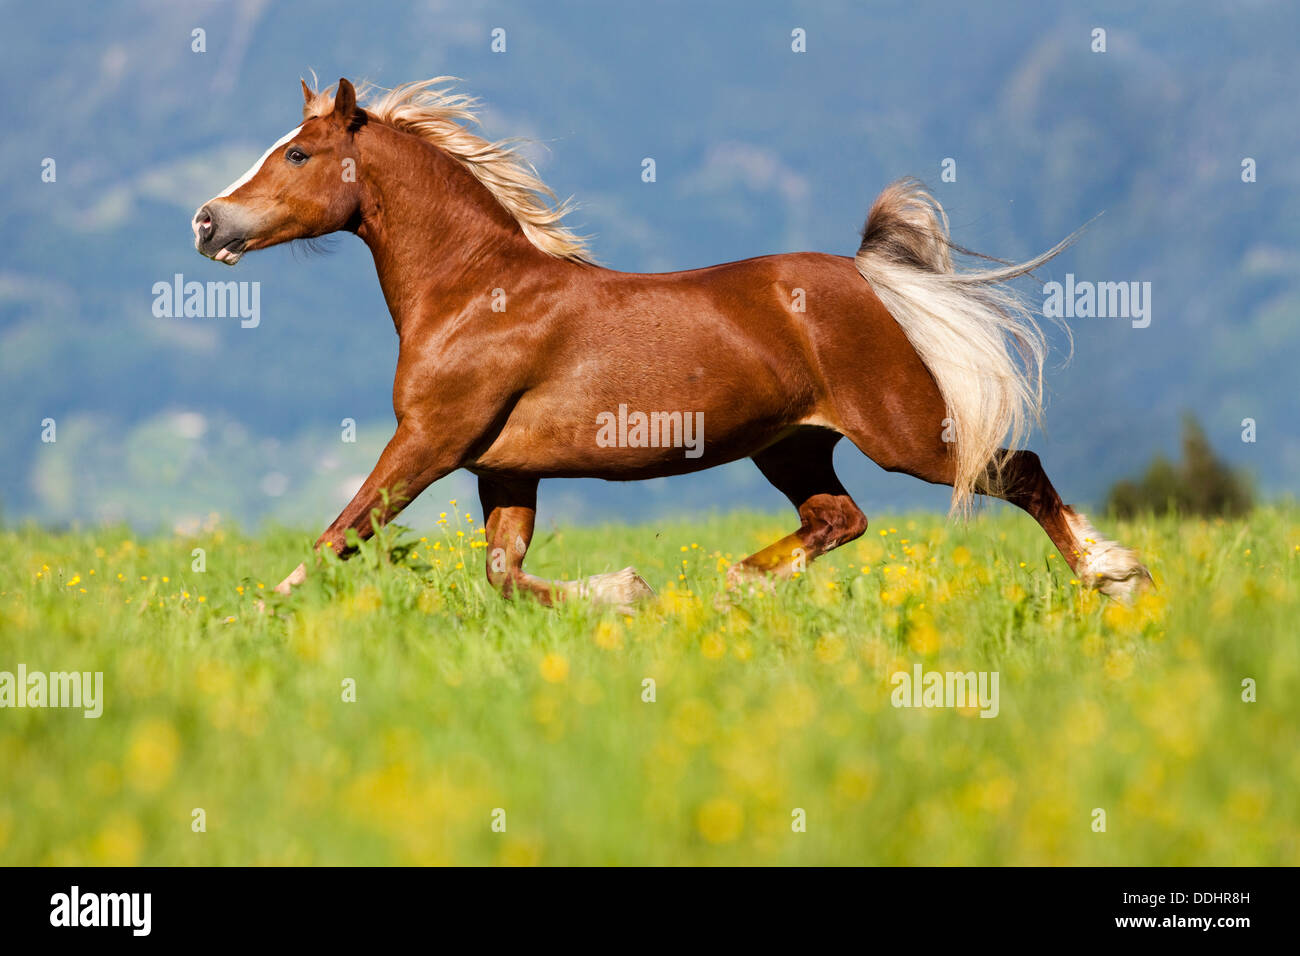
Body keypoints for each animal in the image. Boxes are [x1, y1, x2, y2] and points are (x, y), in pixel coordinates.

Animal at [192, 77, 1152, 607]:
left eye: (298, 156)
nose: (206, 221)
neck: (474, 295)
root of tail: (867, 276)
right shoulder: (505, 468)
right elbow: (504, 574)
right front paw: (630, 593)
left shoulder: (429, 441)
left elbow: (338, 537)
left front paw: (254, 616)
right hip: (792, 444)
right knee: (838, 519)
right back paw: (739, 587)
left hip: (903, 431)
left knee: (1014, 469)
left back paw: (1113, 576)